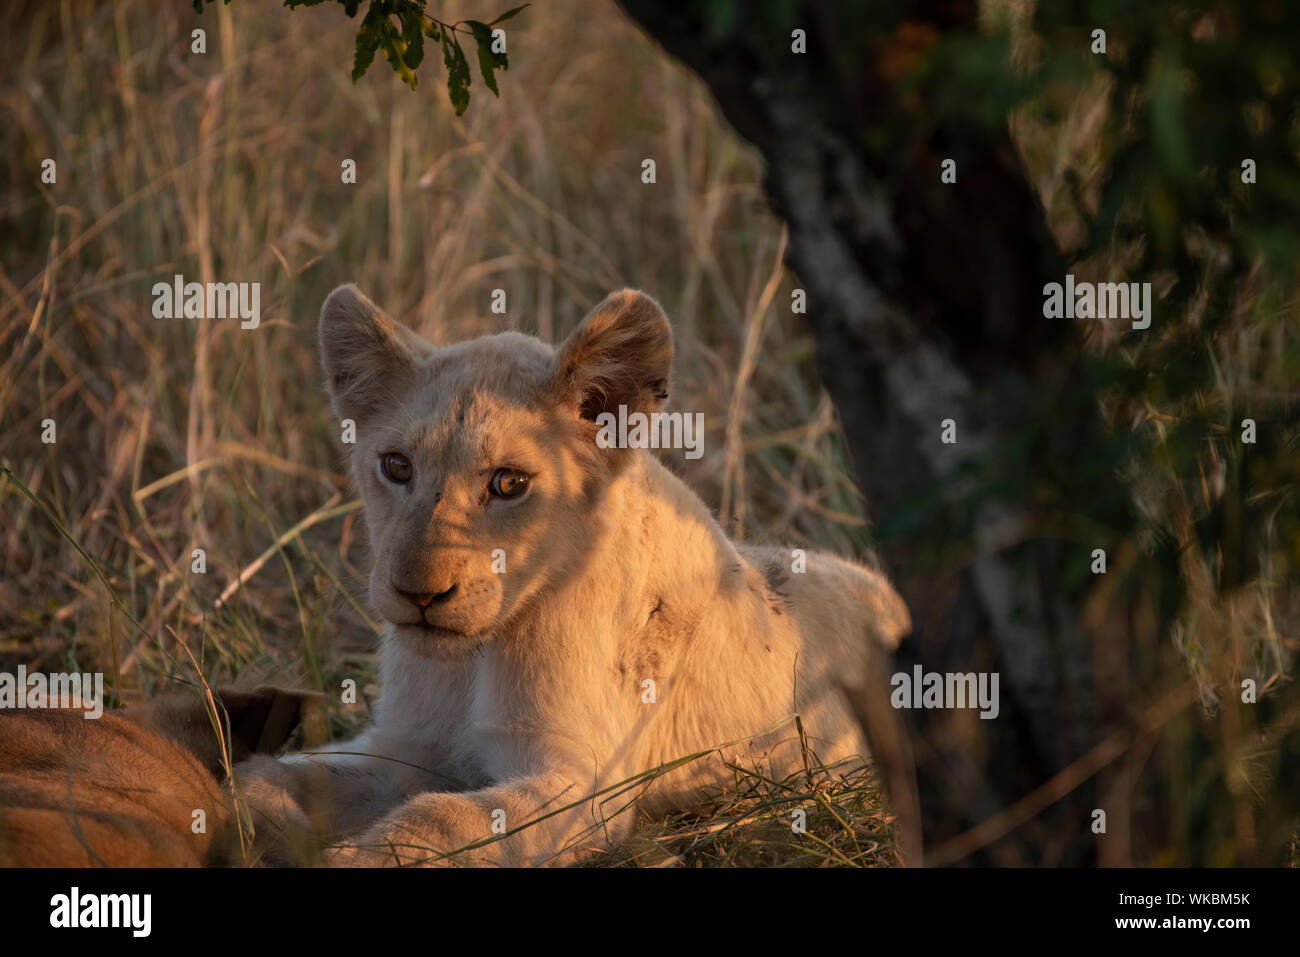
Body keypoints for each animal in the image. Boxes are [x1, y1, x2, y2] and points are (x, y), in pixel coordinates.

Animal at [236, 284, 910, 866]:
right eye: (397, 466)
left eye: (509, 483)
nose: (418, 594)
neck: (473, 660)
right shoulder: (407, 744)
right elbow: (298, 772)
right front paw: (248, 810)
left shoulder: (585, 788)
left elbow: (442, 818)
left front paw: (353, 858)